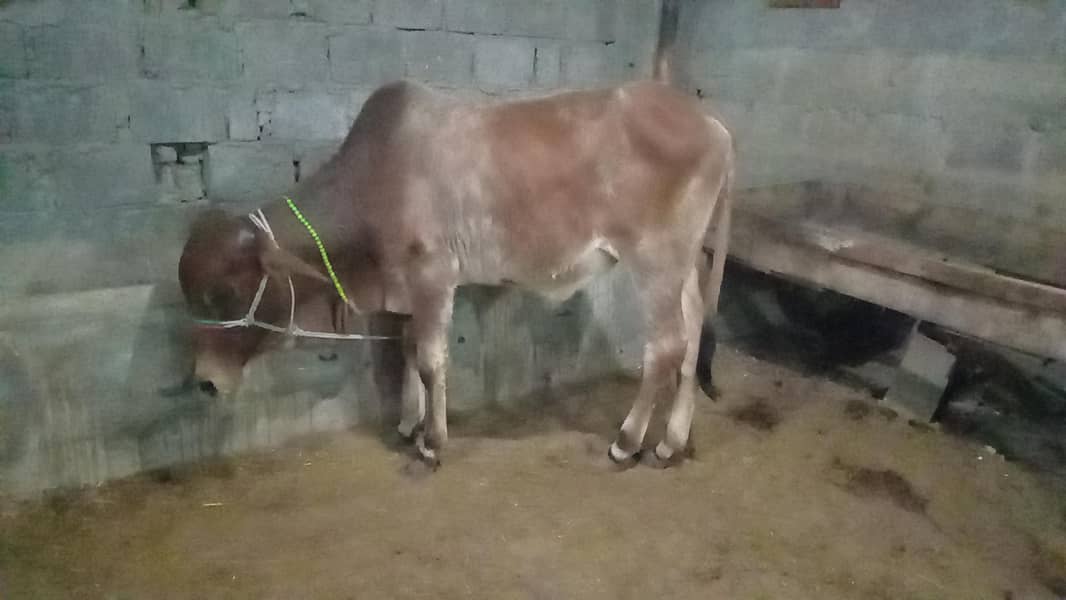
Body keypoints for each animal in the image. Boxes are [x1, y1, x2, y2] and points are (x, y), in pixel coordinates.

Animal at [178, 78, 734, 469]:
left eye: (226, 292)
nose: (204, 382)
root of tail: (713, 124)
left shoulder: (433, 278)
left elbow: (429, 360)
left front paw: (432, 441)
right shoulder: (407, 290)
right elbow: (408, 349)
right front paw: (409, 422)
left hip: (654, 259)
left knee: (665, 346)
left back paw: (627, 441)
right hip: (683, 262)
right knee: (691, 333)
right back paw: (672, 441)